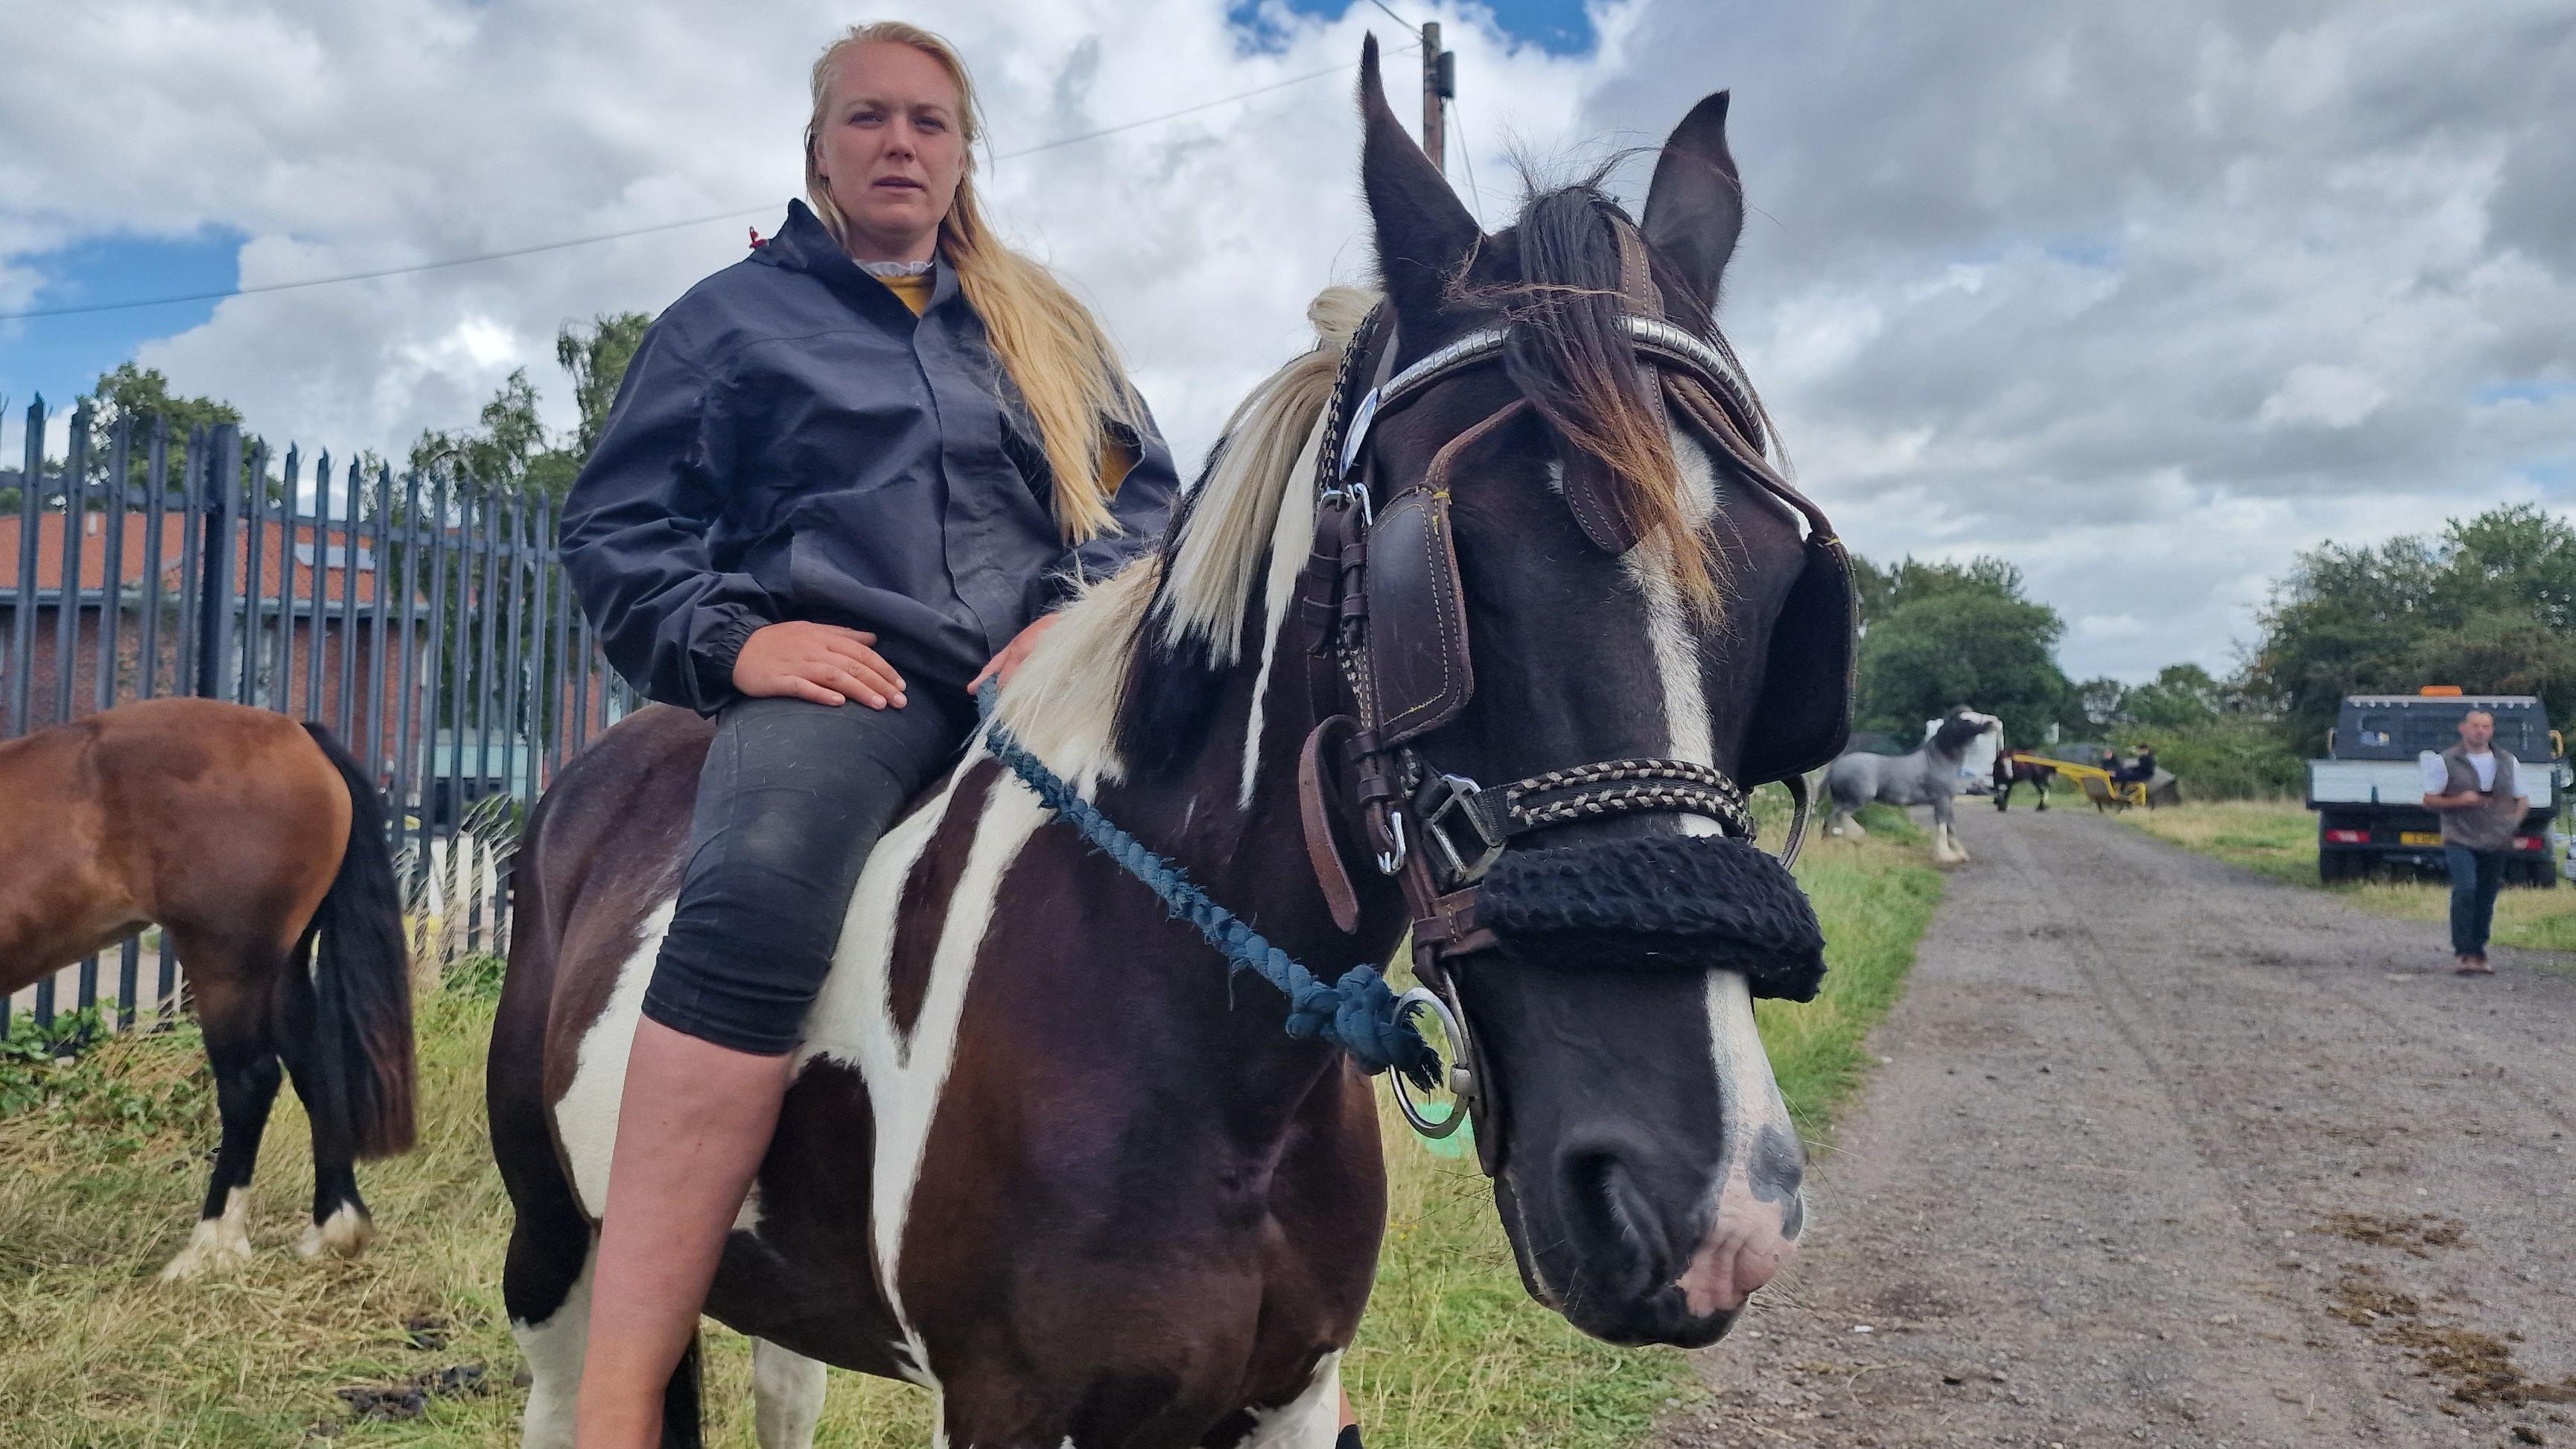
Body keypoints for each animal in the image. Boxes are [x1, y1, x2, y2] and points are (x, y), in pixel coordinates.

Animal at [0, 696, 414, 1278]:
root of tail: (296, 734)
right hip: (280, 967)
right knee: (313, 1069)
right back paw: (333, 1228)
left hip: (226, 965)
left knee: (249, 1082)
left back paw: (211, 1246)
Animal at [489, 40, 1854, 1449]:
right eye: (1448, 568)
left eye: (1777, 583)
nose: (1706, 1205)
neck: (1205, 1052)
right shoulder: (1005, 1403)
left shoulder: (1286, 1391)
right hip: (556, 1248)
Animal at [1822, 708, 2001, 863]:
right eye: (1967, 720)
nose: (1994, 722)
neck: (1938, 760)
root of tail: (1836, 766)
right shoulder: (1941, 800)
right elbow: (1943, 826)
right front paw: (1946, 856)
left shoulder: (1948, 802)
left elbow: (1952, 828)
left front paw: (1961, 854)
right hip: (1857, 799)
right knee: (1841, 816)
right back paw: (1857, 836)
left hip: (1841, 800)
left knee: (1831, 819)